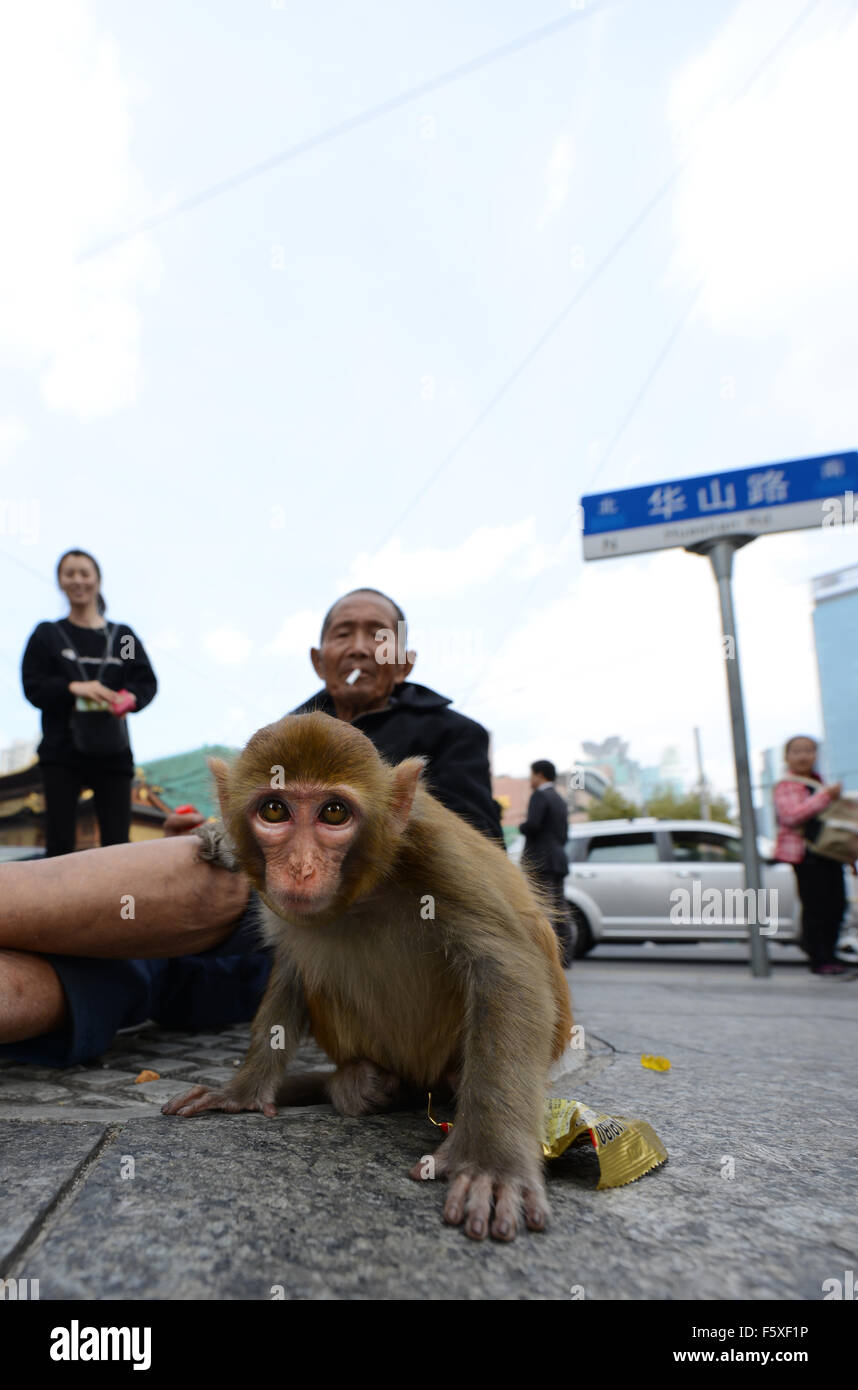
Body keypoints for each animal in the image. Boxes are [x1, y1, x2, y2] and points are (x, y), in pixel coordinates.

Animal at [162, 711, 573, 1242]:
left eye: (334, 814)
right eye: (274, 810)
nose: (300, 867)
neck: (364, 891)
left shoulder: (436, 850)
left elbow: (506, 965)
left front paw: (492, 1161)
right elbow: (292, 965)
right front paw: (242, 1091)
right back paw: (354, 1082)